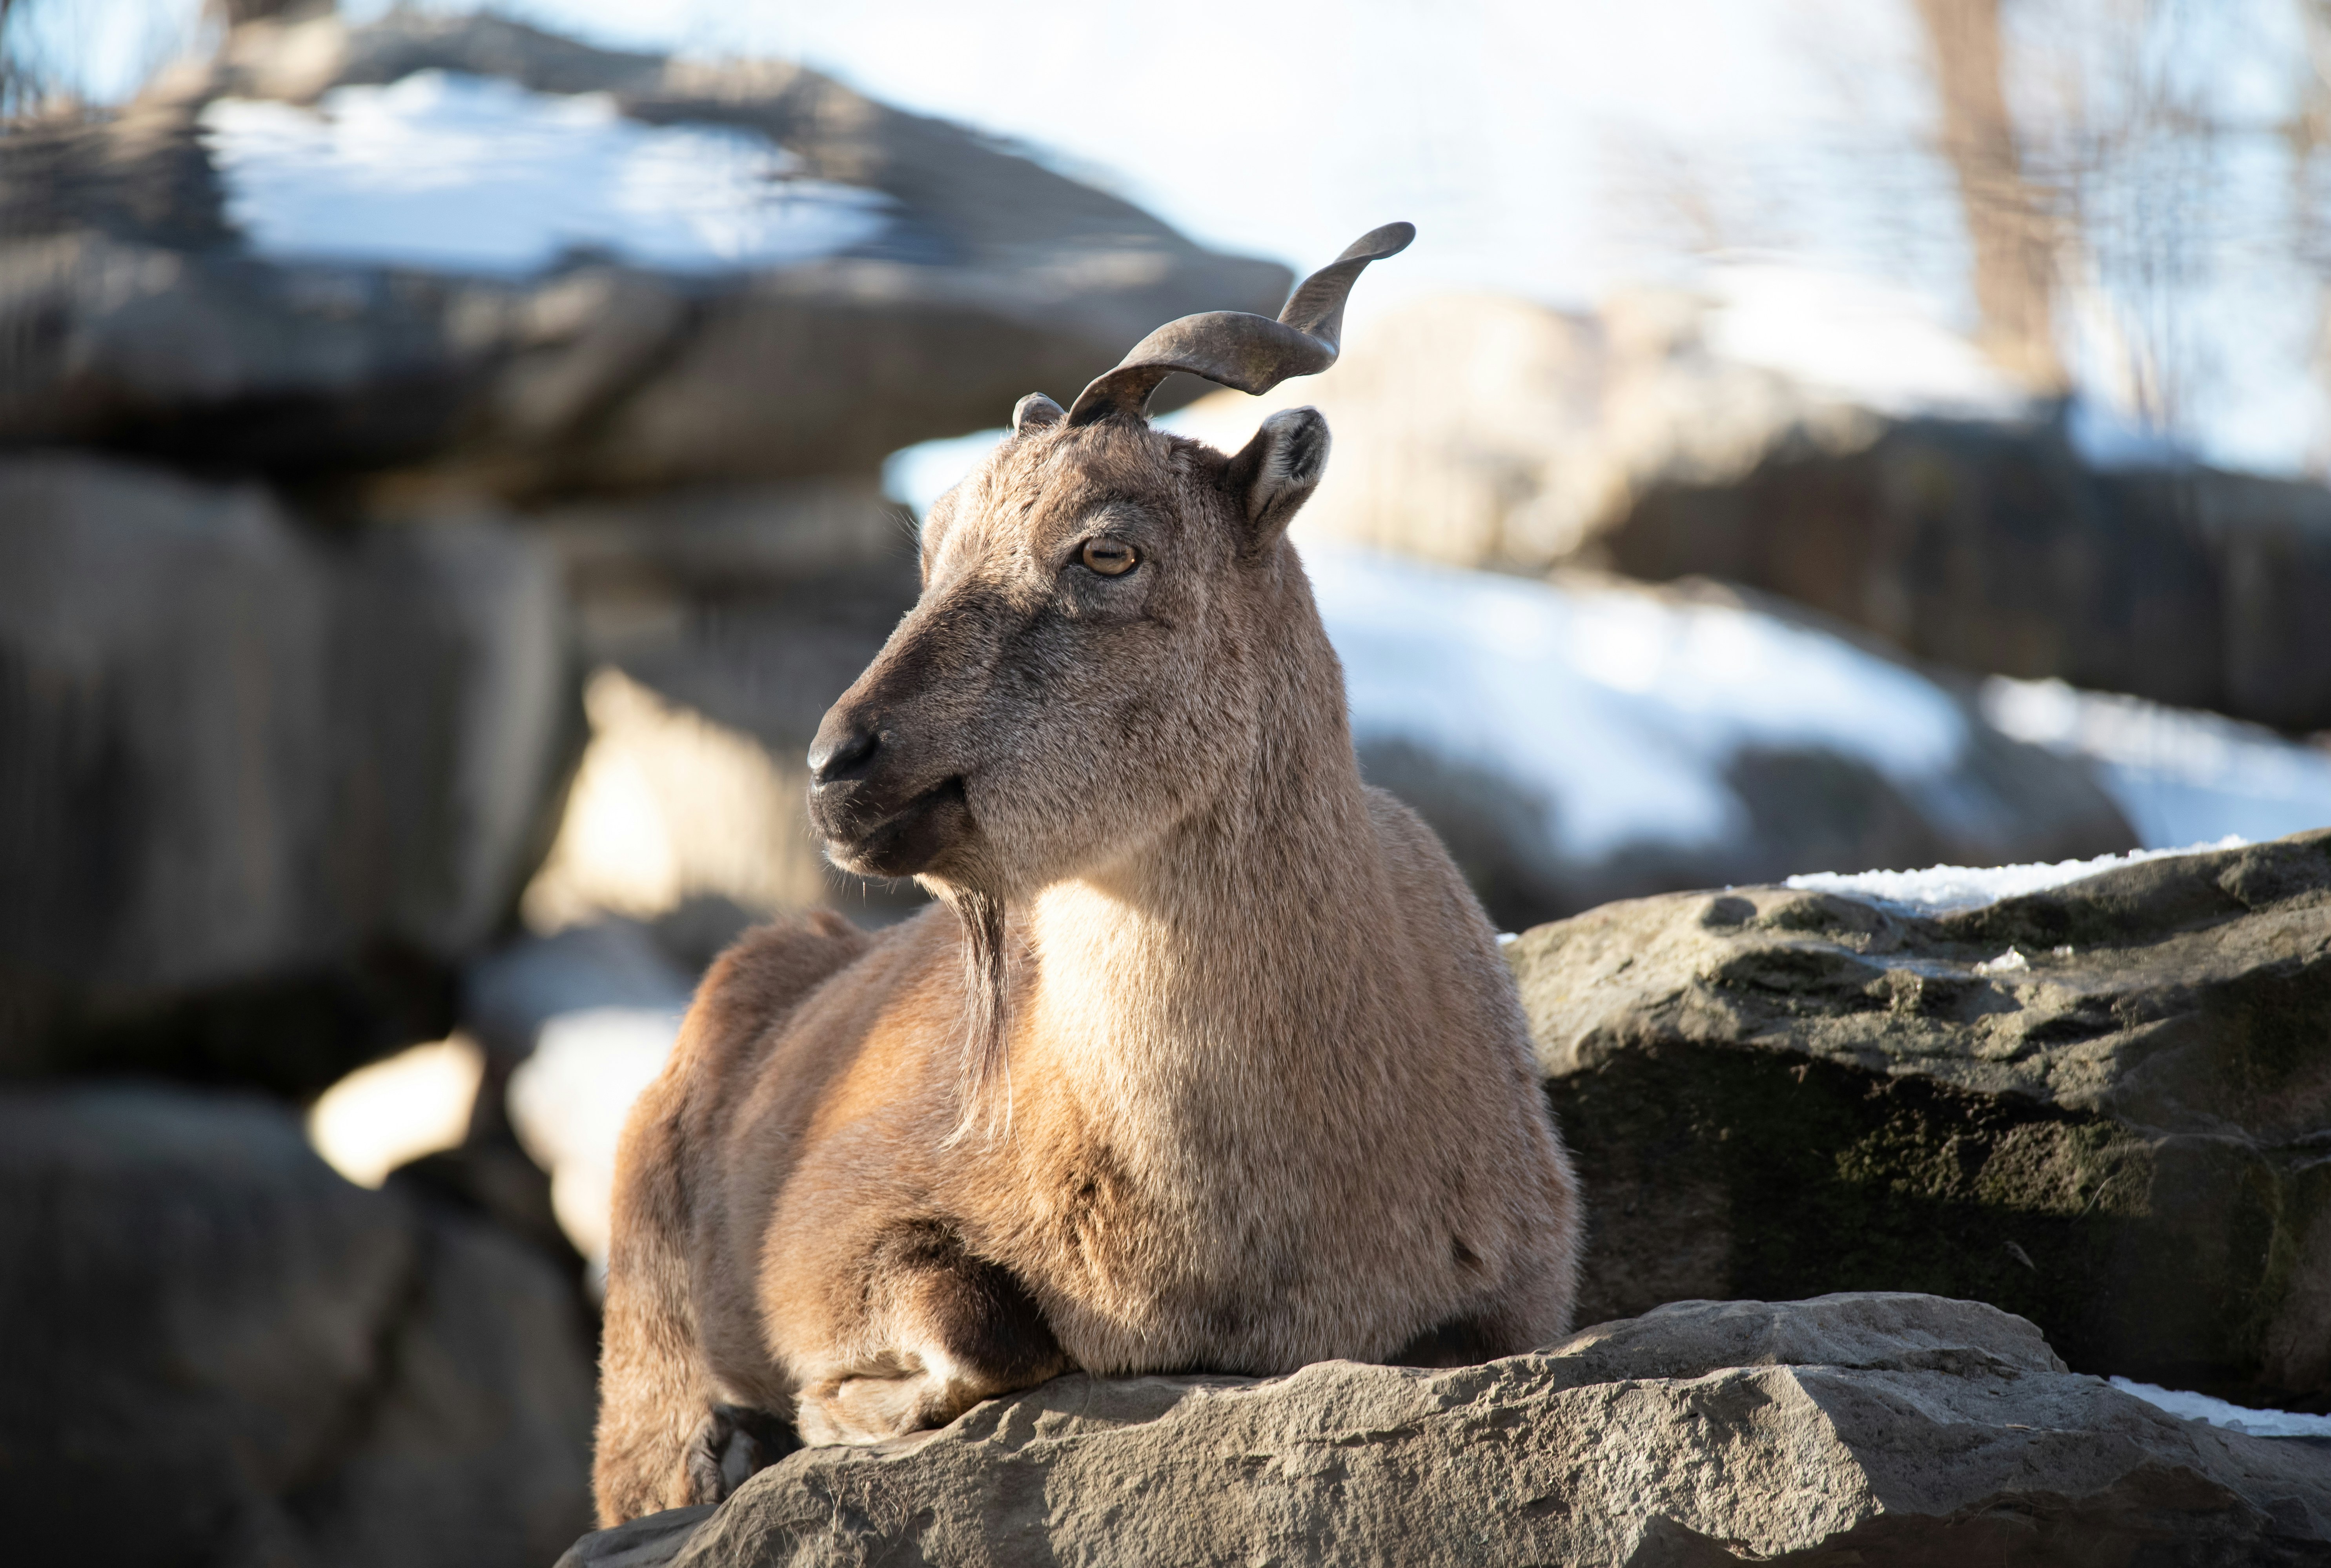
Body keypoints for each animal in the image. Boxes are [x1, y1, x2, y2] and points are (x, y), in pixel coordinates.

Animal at [591, 224, 1583, 1525]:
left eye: (1108, 549)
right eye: (933, 549)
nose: (836, 765)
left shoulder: (1511, 1296)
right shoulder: (835, 1233)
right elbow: (987, 1322)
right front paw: (832, 1408)